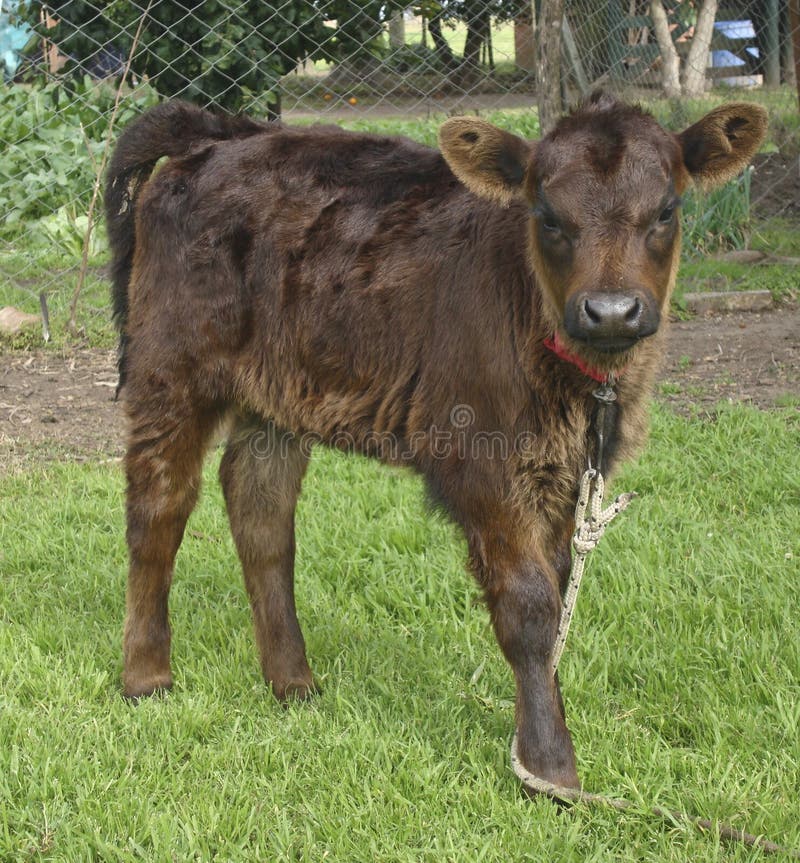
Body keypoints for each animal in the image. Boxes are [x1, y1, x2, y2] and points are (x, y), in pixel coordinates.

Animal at [105, 93, 766, 791]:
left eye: (667, 210)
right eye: (547, 215)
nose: (611, 311)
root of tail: (221, 138)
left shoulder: (565, 474)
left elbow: (558, 590)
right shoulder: (482, 460)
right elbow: (530, 608)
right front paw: (550, 768)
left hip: (278, 393)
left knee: (260, 508)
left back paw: (292, 682)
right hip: (171, 365)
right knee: (159, 506)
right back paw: (146, 676)